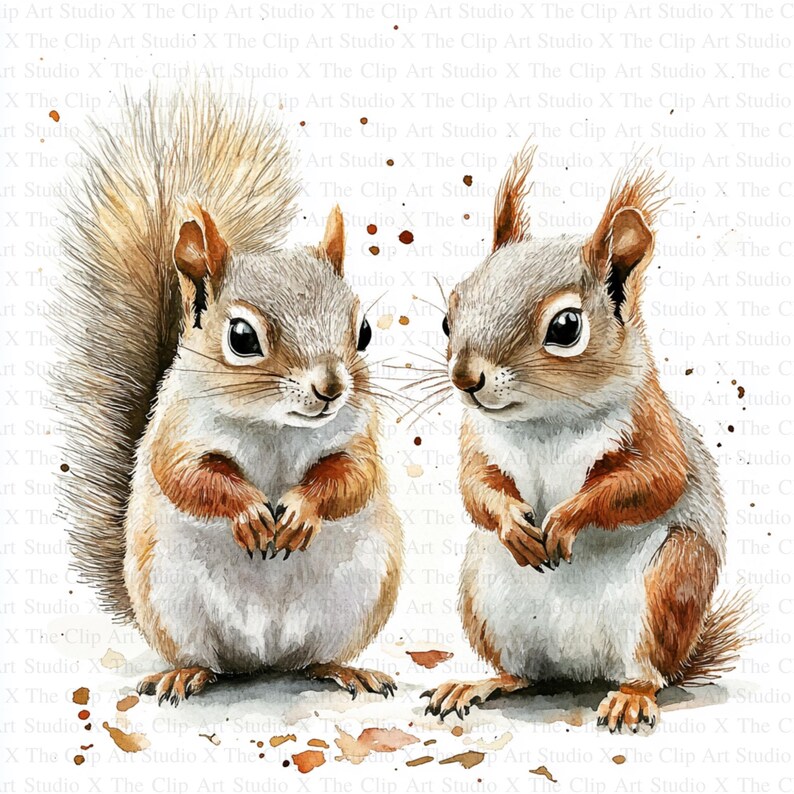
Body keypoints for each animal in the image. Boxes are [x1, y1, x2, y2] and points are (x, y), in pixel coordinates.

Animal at [52, 89, 403, 705]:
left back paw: (343, 669)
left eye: (362, 332)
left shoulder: (359, 433)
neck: (275, 425)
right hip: (171, 600)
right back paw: (185, 673)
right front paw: (249, 513)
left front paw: (300, 510)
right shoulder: (177, 431)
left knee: (316, 656)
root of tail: (265, 656)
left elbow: (353, 476)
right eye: (241, 337)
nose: (331, 389)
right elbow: (188, 477)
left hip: (360, 594)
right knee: (206, 657)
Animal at [422, 144, 750, 733]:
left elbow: (652, 481)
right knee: (524, 673)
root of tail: (581, 668)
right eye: (448, 316)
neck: (544, 420)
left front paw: (566, 520)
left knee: (648, 672)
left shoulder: (651, 426)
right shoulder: (477, 440)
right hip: (484, 597)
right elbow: (476, 487)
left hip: (669, 584)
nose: (465, 378)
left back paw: (630, 698)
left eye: (566, 327)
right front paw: (515, 524)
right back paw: (479, 683)